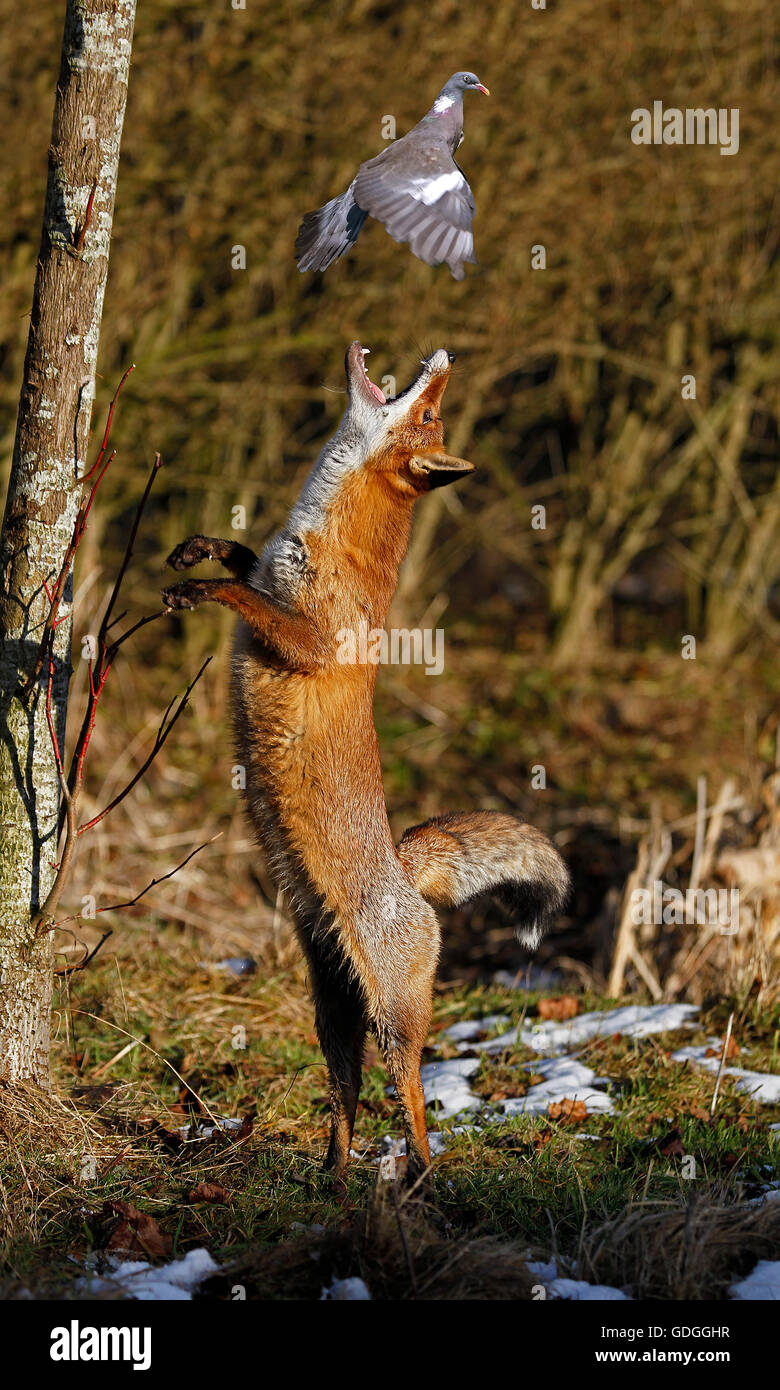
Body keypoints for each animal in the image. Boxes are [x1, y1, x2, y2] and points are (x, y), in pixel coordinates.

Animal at [161, 342, 571, 1183]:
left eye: (429, 411)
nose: (449, 353)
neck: (324, 531)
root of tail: (408, 872)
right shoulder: (275, 588)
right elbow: (245, 563)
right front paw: (202, 547)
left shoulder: (313, 643)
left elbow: (238, 594)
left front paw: (197, 585)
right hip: (332, 1013)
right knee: (345, 1094)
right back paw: (332, 1175)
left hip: (391, 1017)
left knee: (414, 1090)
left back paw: (419, 1176)